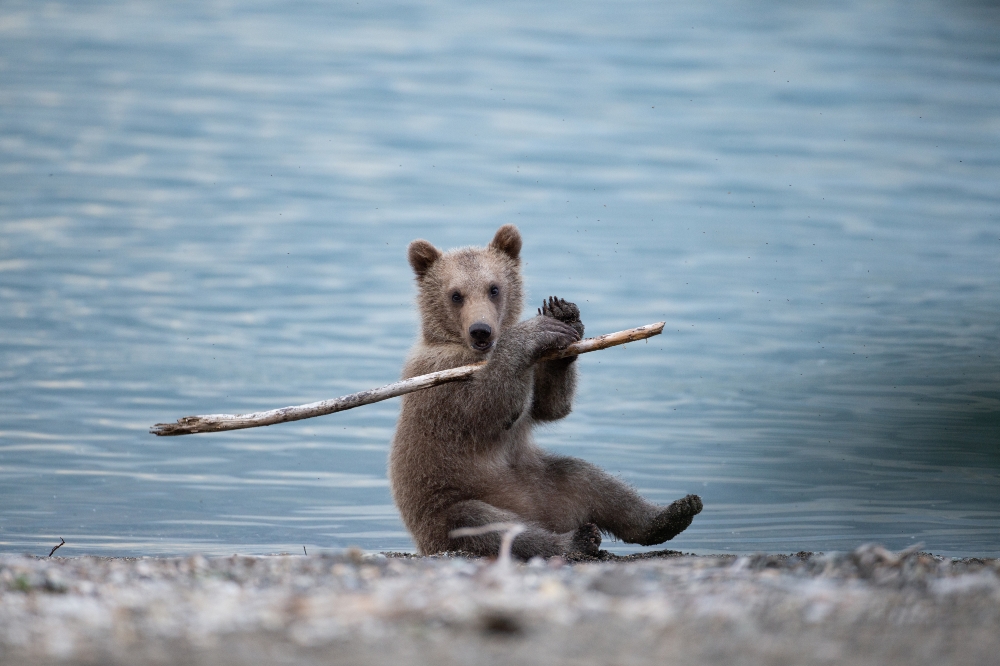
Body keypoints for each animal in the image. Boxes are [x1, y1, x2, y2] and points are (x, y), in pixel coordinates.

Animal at [388, 224, 703, 559]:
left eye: (494, 288)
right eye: (456, 295)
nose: (480, 330)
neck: (474, 353)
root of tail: (536, 514)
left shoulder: (529, 376)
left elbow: (547, 406)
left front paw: (563, 316)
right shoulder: (436, 378)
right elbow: (483, 410)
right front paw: (531, 332)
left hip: (542, 483)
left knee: (590, 480)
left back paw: (671, 514)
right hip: (445, 507)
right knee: (484, 525)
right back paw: (574, 540)